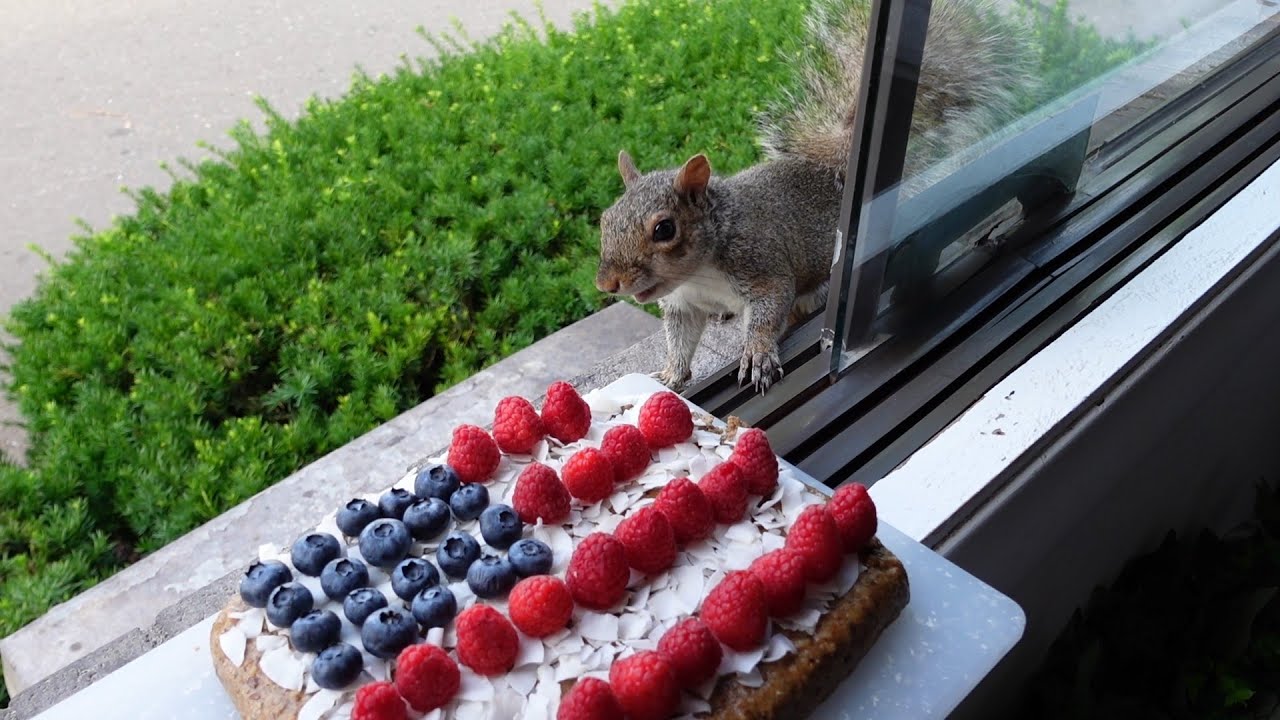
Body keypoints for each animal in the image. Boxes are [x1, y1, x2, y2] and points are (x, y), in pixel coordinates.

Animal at [595, 0, 1037, 392]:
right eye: (604, 220)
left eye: (664, 229)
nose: (606, 284)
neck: (700, 272)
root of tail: (833, 177)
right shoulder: (684, 305)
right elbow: (681, 341)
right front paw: (670, 376)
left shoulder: (760, 263)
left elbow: (769, 309)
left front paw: (757, 353)